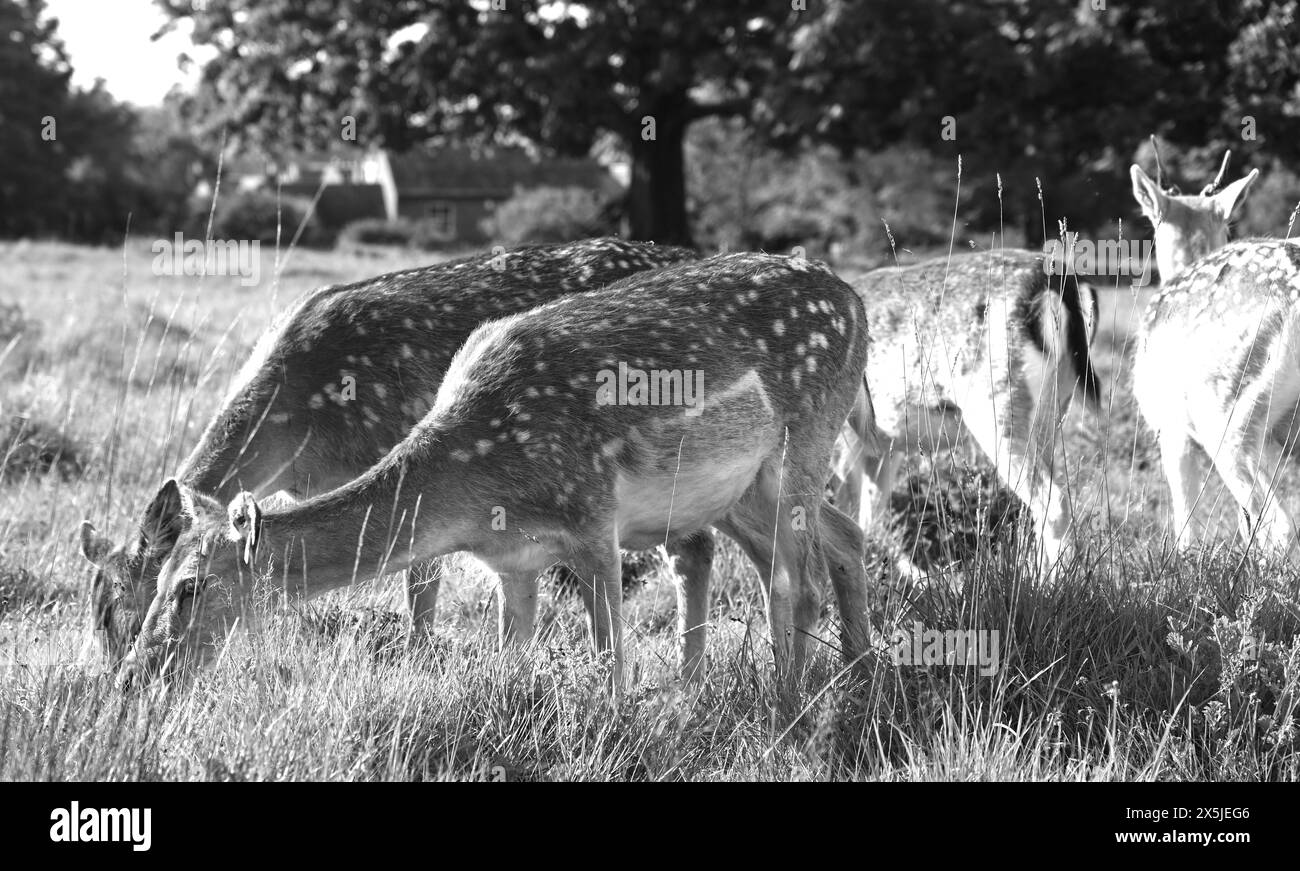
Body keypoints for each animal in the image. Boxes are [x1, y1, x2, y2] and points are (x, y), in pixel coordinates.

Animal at [118, 252, 874, 692]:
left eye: (187, 587)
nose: (132, 675)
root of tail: (857, 300)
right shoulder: (514, 562)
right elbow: (510, 668)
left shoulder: (592, 514)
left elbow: (610, 670)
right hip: (743, 486)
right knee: (834, 543)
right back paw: (855, 676)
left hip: (804, 440)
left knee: (794, 580)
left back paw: (787, 710)